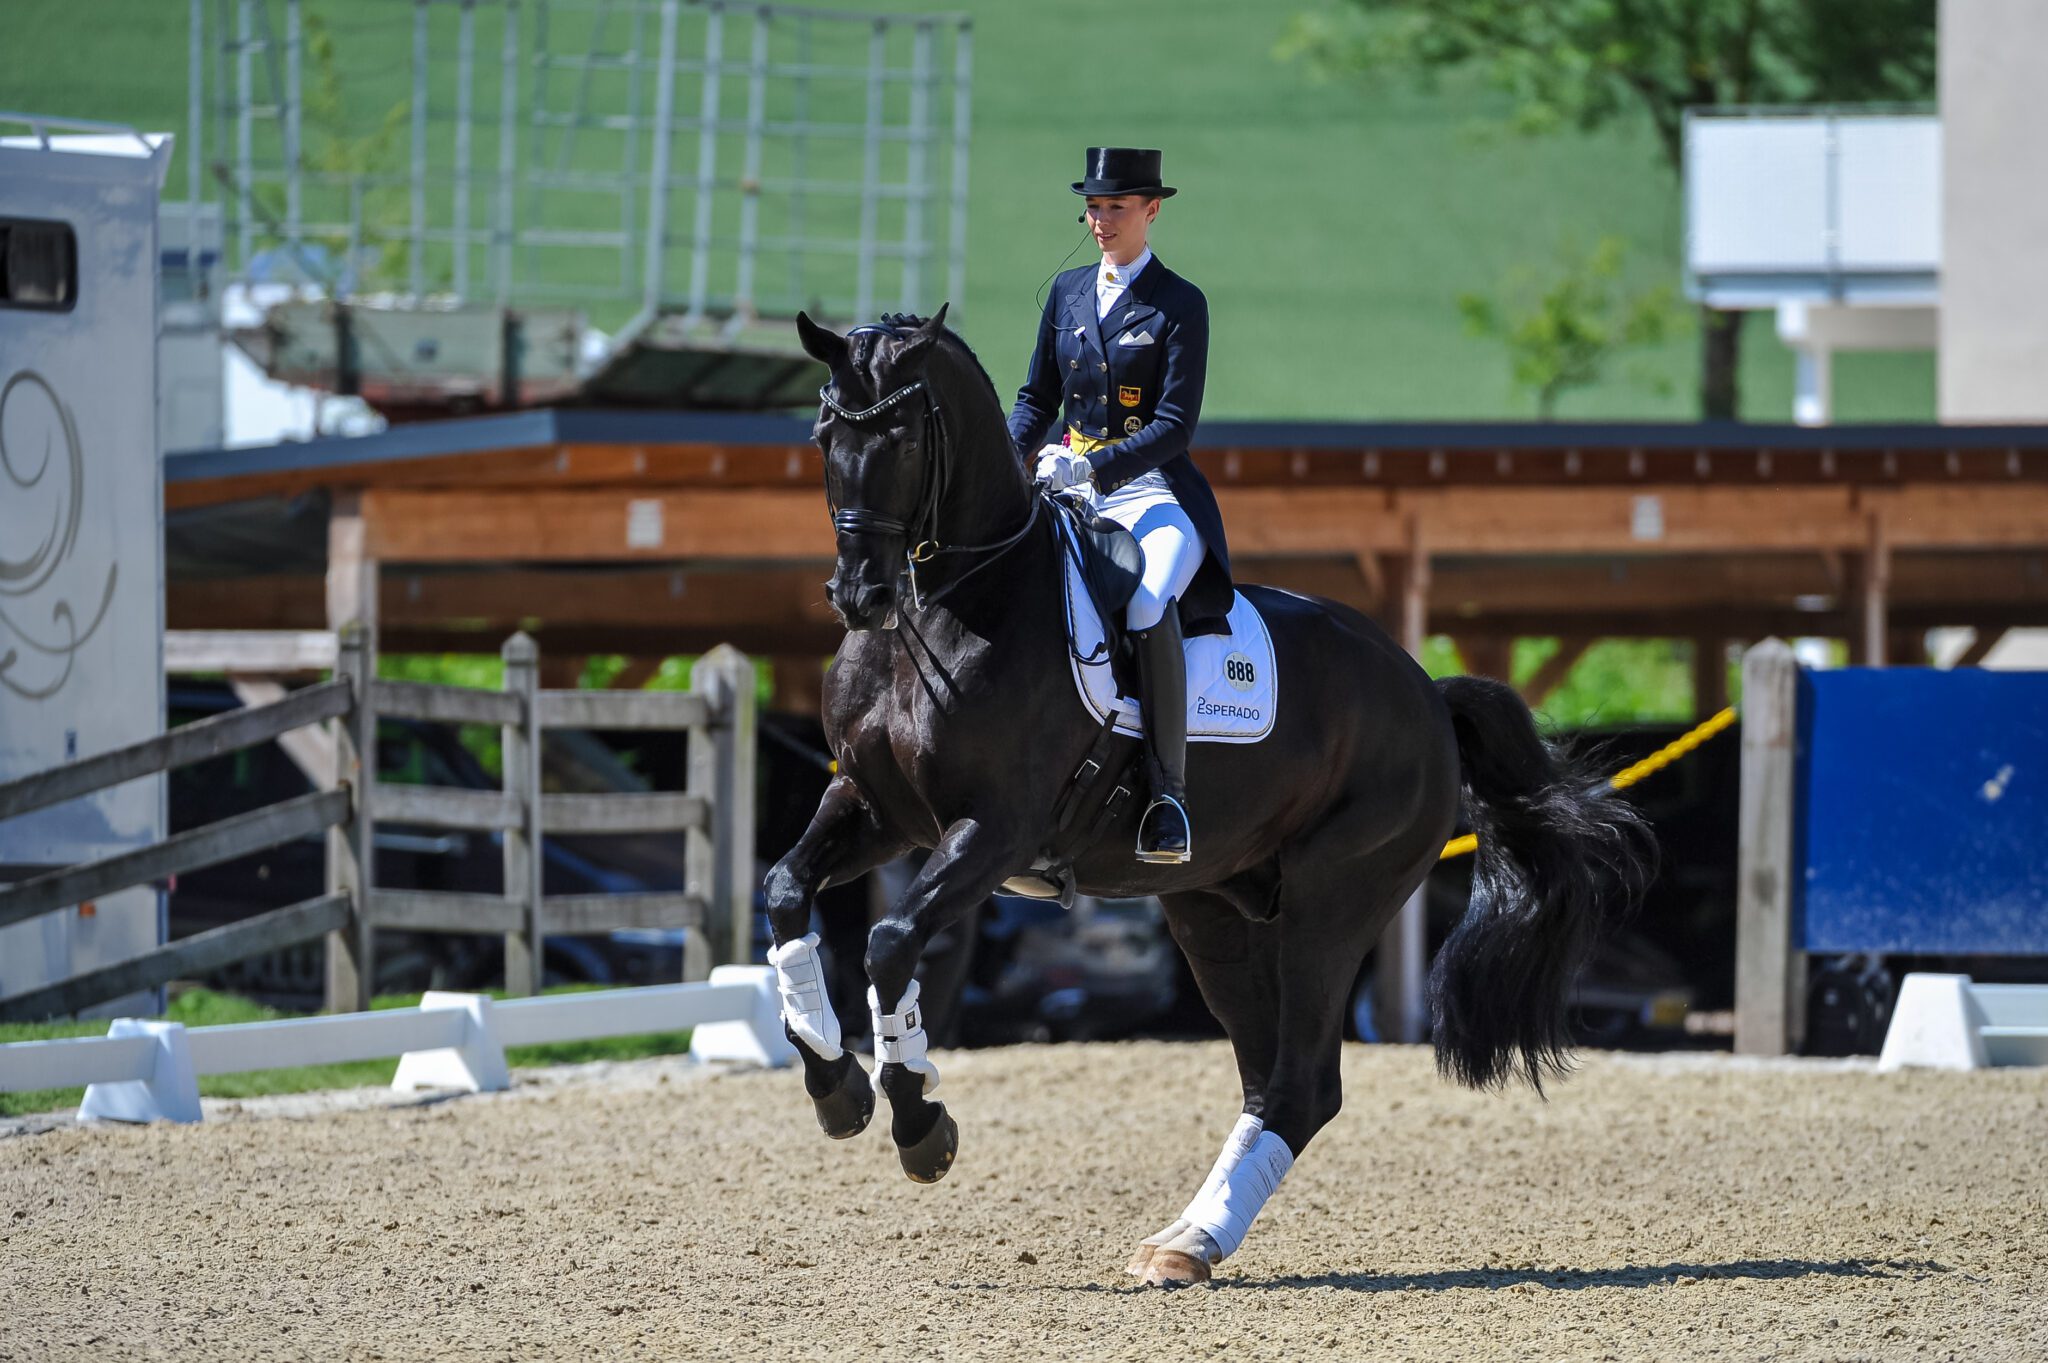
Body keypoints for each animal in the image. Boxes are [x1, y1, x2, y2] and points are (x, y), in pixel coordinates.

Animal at [763, 307, 1654, 1287]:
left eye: (905, 438)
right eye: (825, 436)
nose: (860, 594)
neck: (949, 607)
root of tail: (1424, 689)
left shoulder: (994, 832)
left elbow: (888, 941)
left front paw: (921, 1121)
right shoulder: (878, 809)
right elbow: (785, 891)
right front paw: (835, 1085)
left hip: (1333, 901)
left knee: (1303, 1081)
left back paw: (1192, 1238)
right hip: (1216, 909)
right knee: (1267, 1076)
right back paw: (1187, 1238)